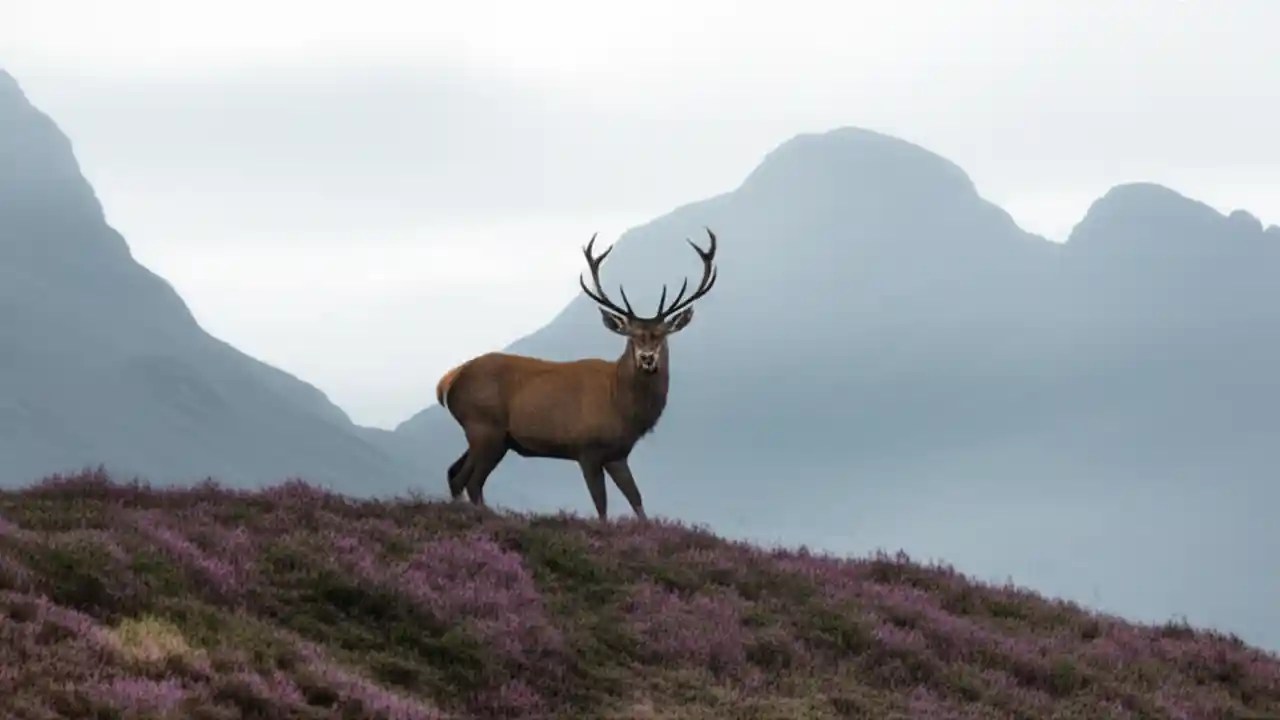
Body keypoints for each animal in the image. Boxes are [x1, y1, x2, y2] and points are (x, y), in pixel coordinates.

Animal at [434, 228, 719, 522]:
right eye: (631, 336)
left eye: (662, 335)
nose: (647, 358)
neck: (622, 406)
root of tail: (448, 382)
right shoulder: (587, 448)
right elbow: (601, 506)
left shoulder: (617, 454)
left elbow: (637, 501)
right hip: (485, 427)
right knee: (470, 481)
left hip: (492, 437)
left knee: (454, 474)